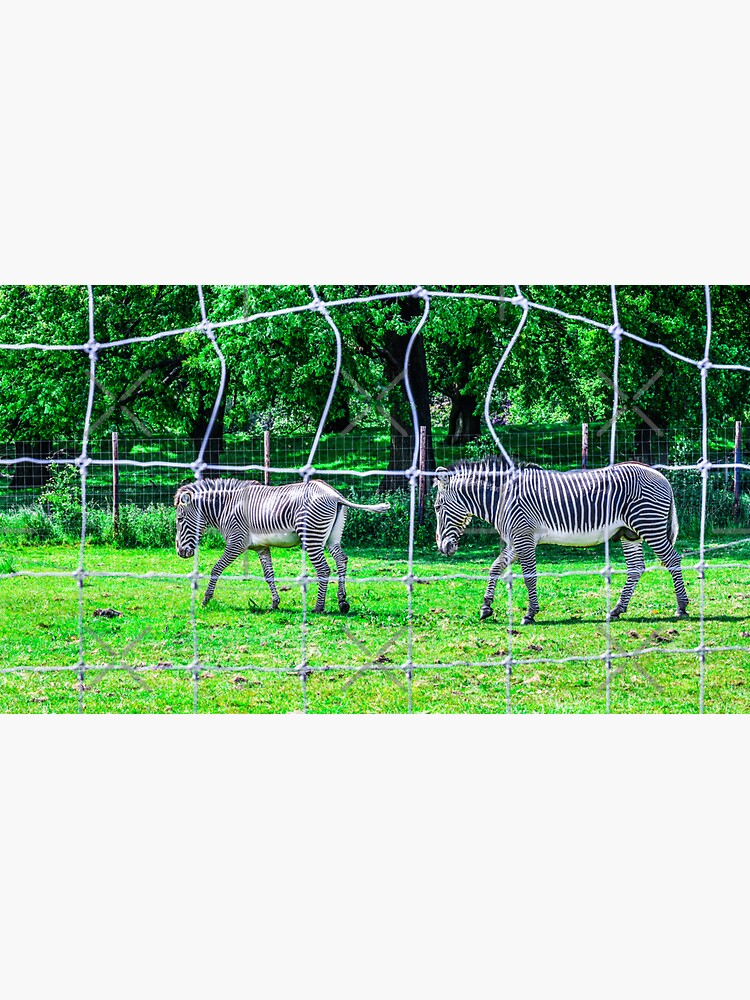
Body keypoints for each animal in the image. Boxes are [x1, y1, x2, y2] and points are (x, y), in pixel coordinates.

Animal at [174, 477, 390, 613]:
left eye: (179, 519)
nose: (180, 552)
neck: (226, 507)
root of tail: (335, 495)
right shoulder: (261, 546)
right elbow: (268, 574)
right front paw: (275, 603)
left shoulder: (237, 542)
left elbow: (216, 568)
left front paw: (206, 599)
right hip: (332, 538)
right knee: (342, 560)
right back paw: (342, 601)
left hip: (311, 537)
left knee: (324, 569)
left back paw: (319, 607)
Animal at [433, 459, 689, 624]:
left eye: (436, 507)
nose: (443, 548)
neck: (502, 498)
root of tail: (661, 475)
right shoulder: (516, 541)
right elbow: (495, 568)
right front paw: (486, 607)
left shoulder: (524, 537)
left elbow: (529, 576)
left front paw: (530, 613)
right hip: (629, 533)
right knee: (636, 568)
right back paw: (617, 610)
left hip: (648, 524)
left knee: (672, 559)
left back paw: (682, 607)